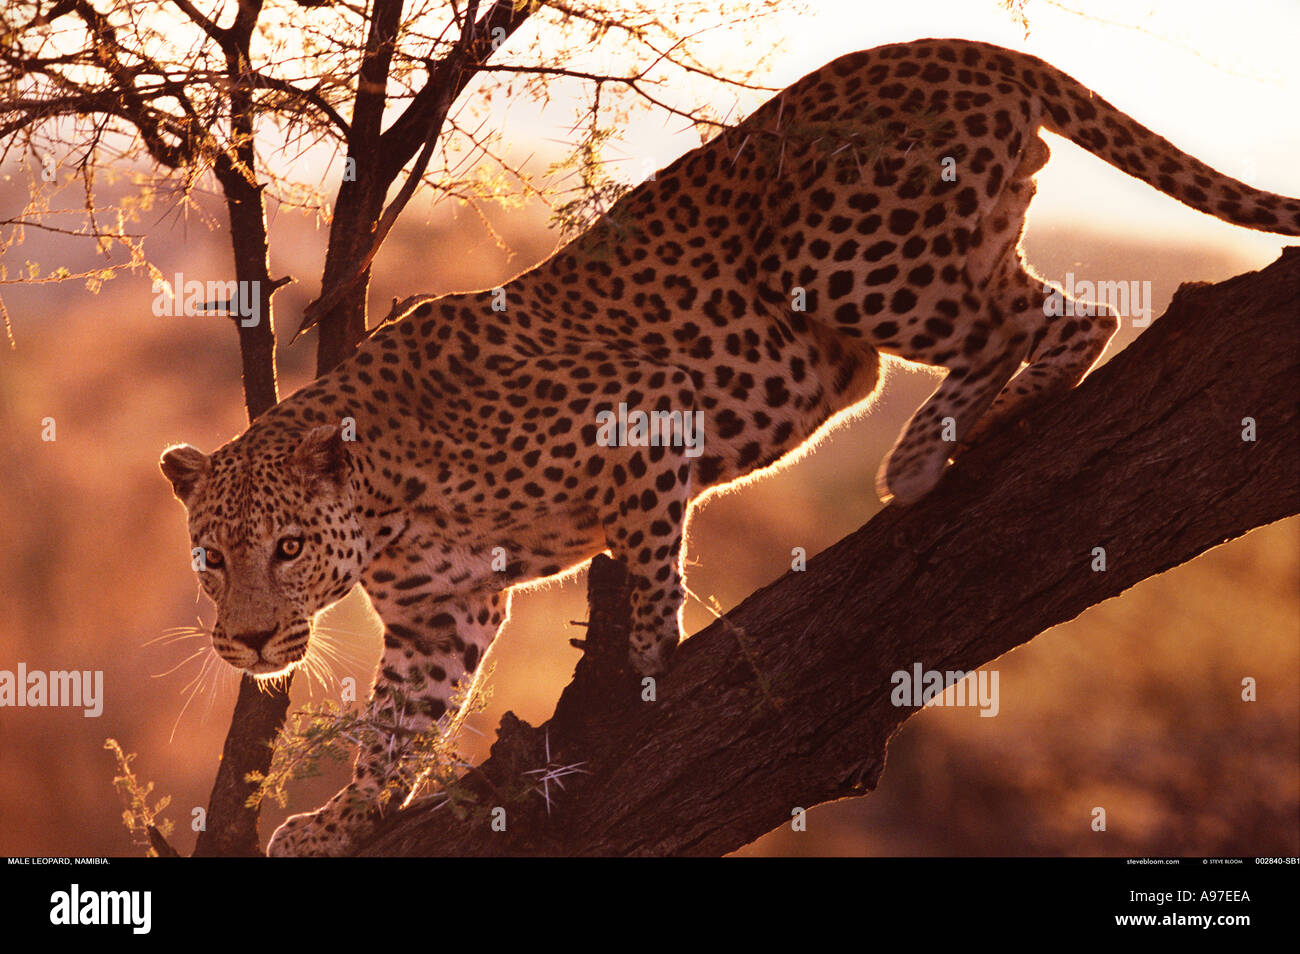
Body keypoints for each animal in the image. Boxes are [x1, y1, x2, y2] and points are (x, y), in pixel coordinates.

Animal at [159, 38, 1300, 856]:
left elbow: (648, 556)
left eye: (287, 550)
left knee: (1047, 321)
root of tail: (967, 45)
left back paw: (925, 454)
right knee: (1050, 312)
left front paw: (645, 657)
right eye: (209, 558)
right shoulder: (447, 613)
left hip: (846, 260)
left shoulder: (643, 413)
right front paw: (342, 822)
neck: (389, 500)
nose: (247, 643)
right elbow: (401, 727)